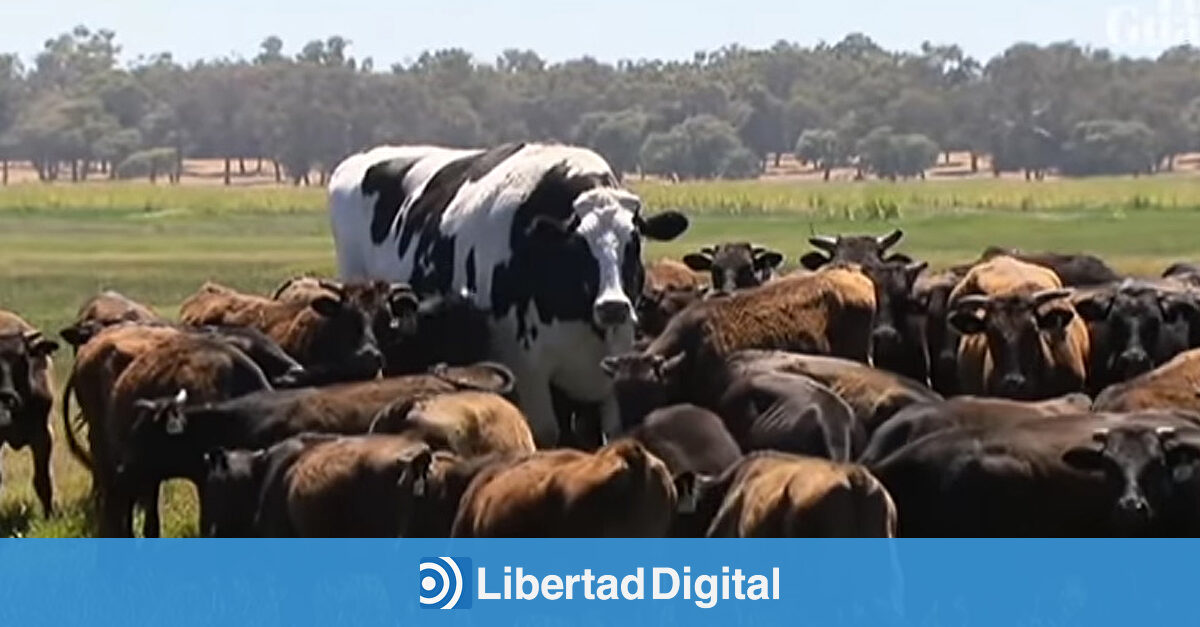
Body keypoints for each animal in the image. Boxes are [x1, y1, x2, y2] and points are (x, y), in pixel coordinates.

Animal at [328, 143, 689, 447]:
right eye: (577, 245)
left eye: (635, 242)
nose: (612, 306)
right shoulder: (527, 370)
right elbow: (546, 434)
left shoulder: (614, 364)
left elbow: (612, 432)